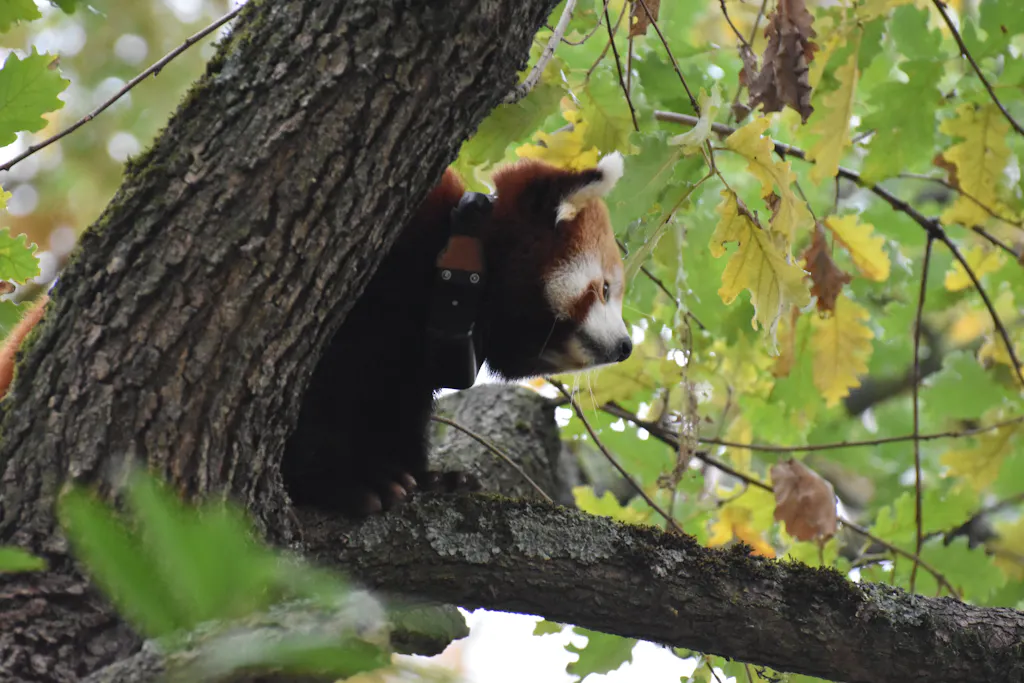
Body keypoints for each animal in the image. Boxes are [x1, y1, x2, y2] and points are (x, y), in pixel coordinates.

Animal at [281, 152, 632, 515]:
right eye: (605, 290)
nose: (626, 346)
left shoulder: (417, 352)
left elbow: (397, 405)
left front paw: (429, 478)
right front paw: (340, 482)